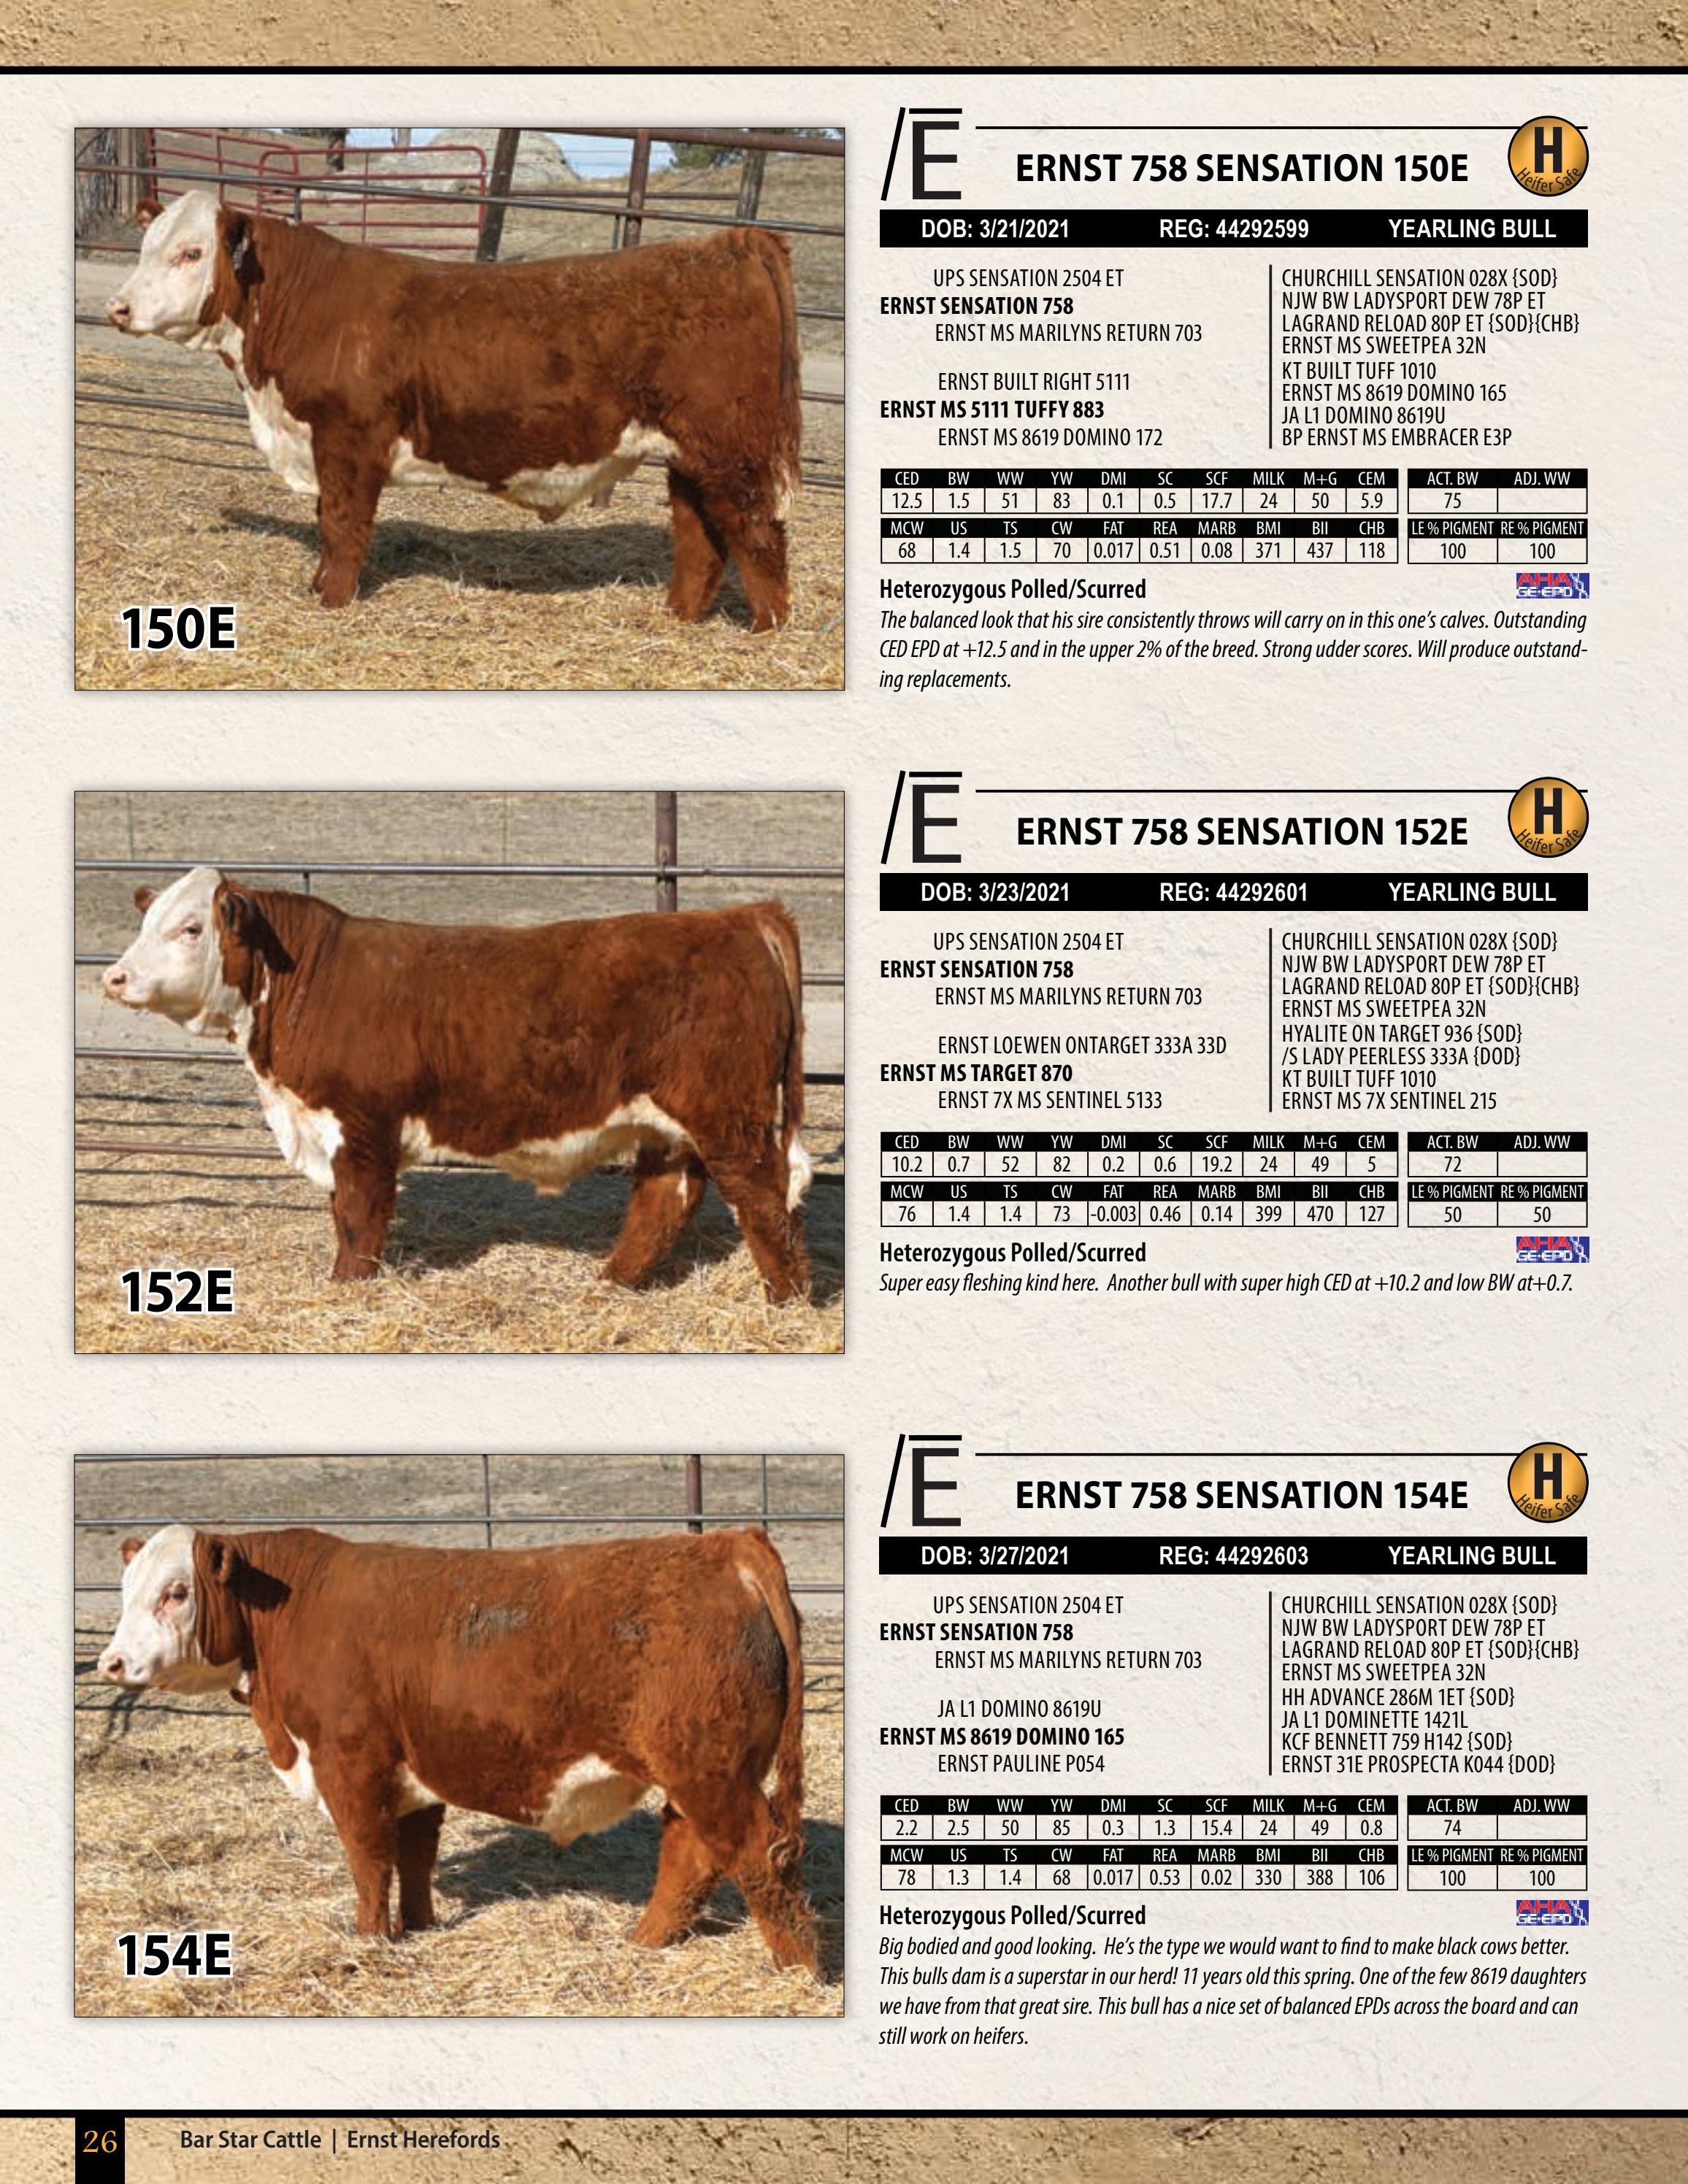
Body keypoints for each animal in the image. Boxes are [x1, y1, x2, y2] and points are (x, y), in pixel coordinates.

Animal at [96, 1523, 818, 1970]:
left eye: (177, 1592)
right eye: (126, 1592)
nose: (112, 1663)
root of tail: (729, 1544)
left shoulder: (349, 1763)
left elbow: (369, 1857)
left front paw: (369, 1940)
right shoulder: (412, 1770)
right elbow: (415, 1854)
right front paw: (416, 1927)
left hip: (714, 1773)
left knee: (759, 1855)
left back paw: (795, 1972)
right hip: (701, 1774)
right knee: (692, 1854)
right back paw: (644, 1941)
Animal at [100, 870, 812, 1301]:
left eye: (192, 927)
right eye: (146, 921)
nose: (114, 977)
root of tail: (741, 917)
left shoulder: (362, 1126)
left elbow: (358, 1215)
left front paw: (347, 1287)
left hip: (730, 1115)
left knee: (763, 1198)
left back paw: (787, 1301)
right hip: (672, 1121)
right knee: (668, 1198)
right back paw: (611, 1281)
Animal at [105, 191, 802, 630]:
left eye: (192, 253)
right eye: (145, 247)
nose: (118, 307)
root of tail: (732, 242)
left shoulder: (349, 438)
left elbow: (342, 524)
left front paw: (332, 600)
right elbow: (328, 522)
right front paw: (317, 588)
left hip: (731, 449)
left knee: (759, 534)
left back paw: (766, 631)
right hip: (689, 454)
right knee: (700, 538)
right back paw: (678, 617)